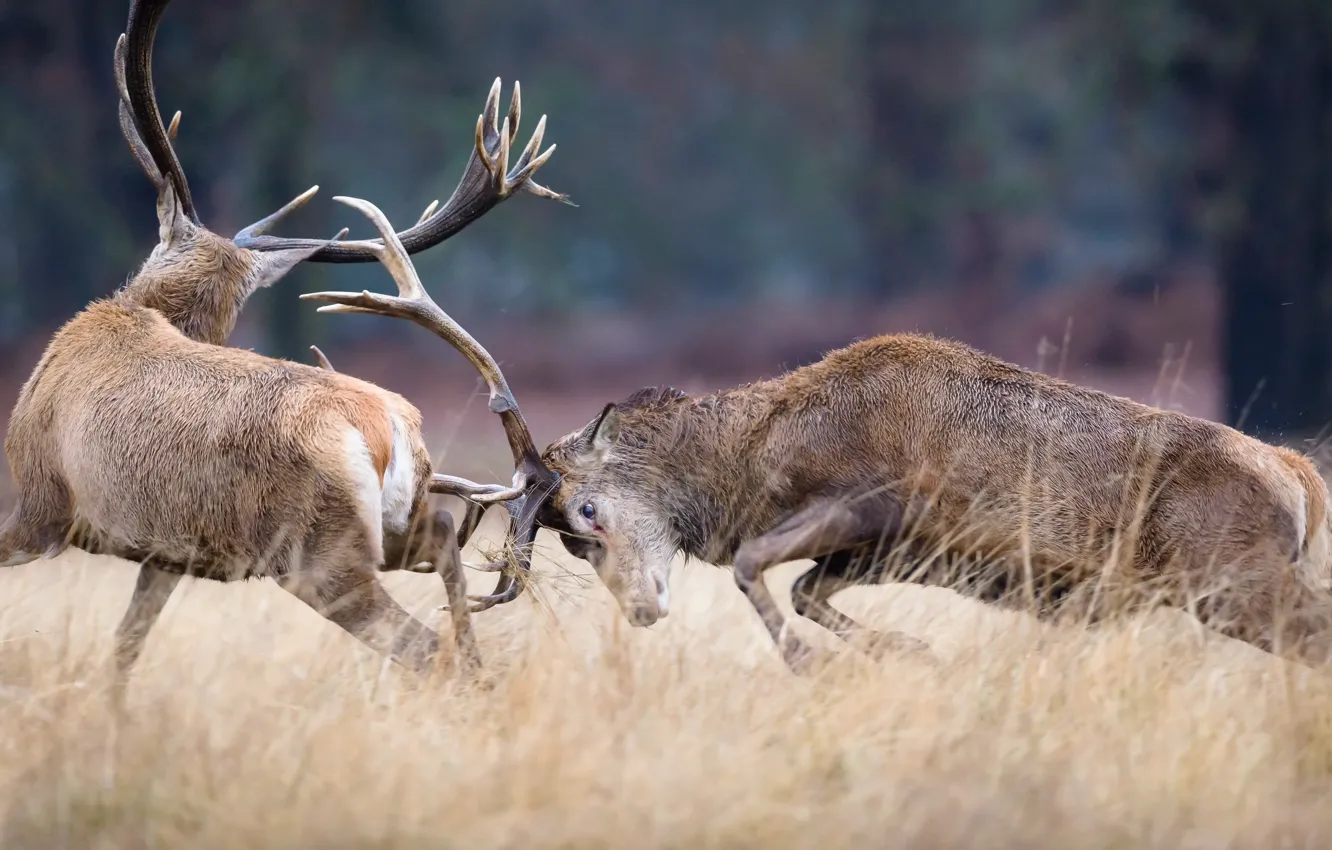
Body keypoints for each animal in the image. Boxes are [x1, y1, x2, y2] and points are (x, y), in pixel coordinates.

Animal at [0, 0, 561, 683]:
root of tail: (389, 425)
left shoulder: (40, 501)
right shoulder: (165, 552)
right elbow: (126, 648)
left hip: (314, 553)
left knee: (428, 652)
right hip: (387, 526)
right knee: (448, 549)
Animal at [517, 334, 1332, 672]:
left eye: (587, 513)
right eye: (571, 545)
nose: (640, 609)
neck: (758, 464)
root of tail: (1300, 476)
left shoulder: (877, 504)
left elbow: (753, 565)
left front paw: (808, 663)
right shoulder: (891, 552)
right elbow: (808, 590)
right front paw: (909, 650)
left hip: (1234, 580)